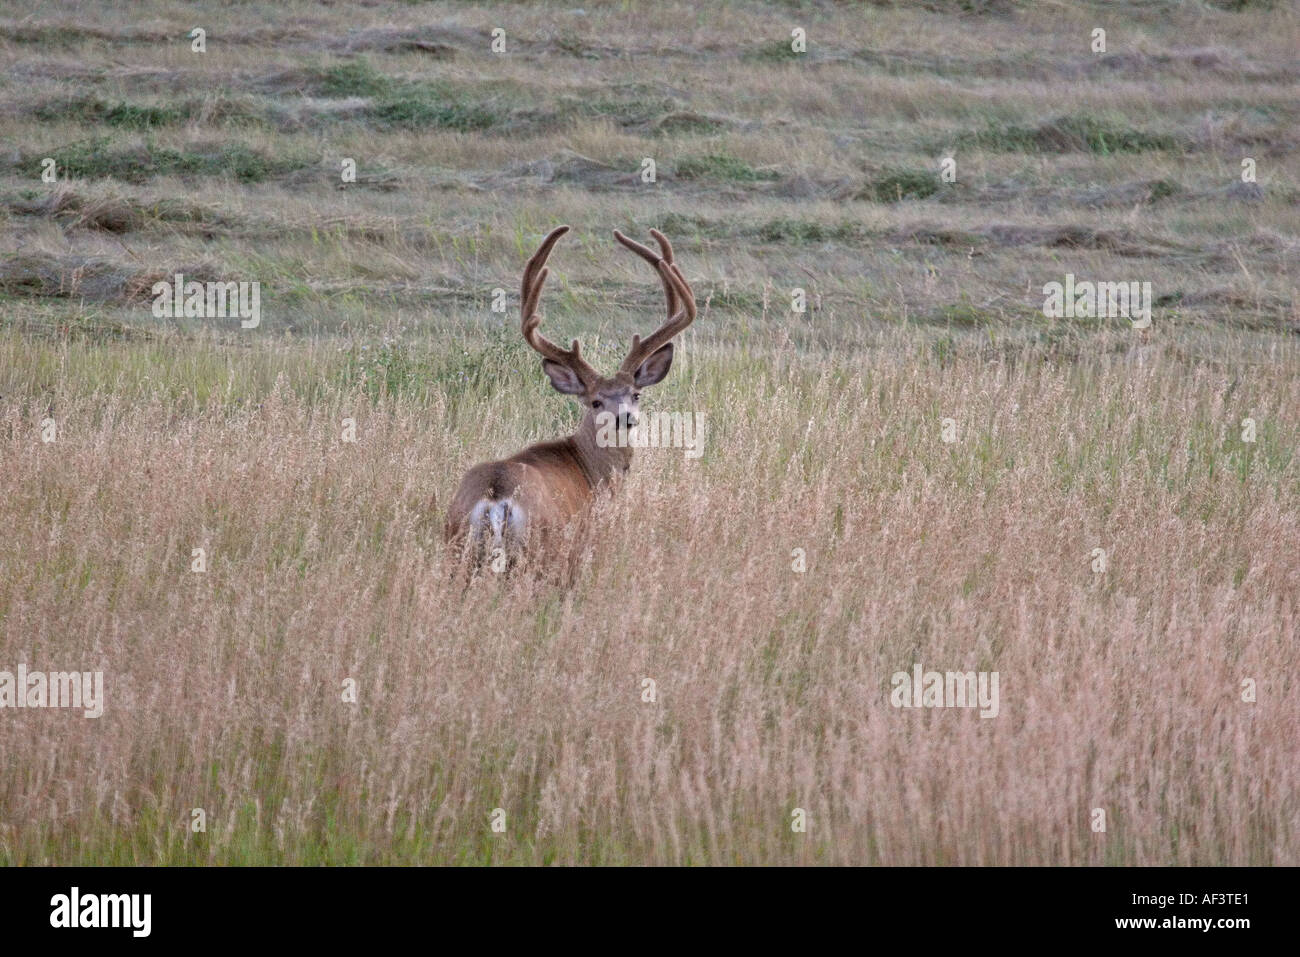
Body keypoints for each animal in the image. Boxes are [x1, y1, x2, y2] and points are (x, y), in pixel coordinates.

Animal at [444, 225, 696, 569]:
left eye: (635, 394)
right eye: (595, 401)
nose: (625, 418)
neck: (592, 471)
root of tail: (495, 497)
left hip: (456, 548)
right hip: (542, 549)